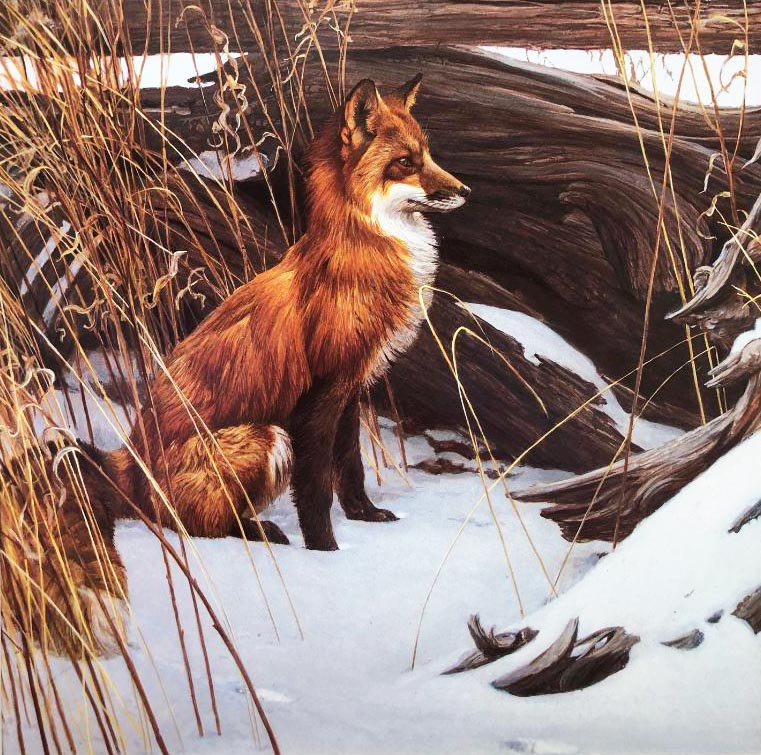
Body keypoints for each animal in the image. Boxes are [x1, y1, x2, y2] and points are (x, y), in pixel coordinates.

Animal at [22, 75, 469, 653]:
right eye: (405, 162)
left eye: (429, 155)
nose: (465, 191)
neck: (363, 257)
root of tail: (132, 465)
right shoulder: (316, 400)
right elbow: (315, 488)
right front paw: (326, 553)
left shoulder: (351, 389)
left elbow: (350, 466)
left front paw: (366, 517)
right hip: (264, 436)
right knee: (194, 526)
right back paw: (262, 532)